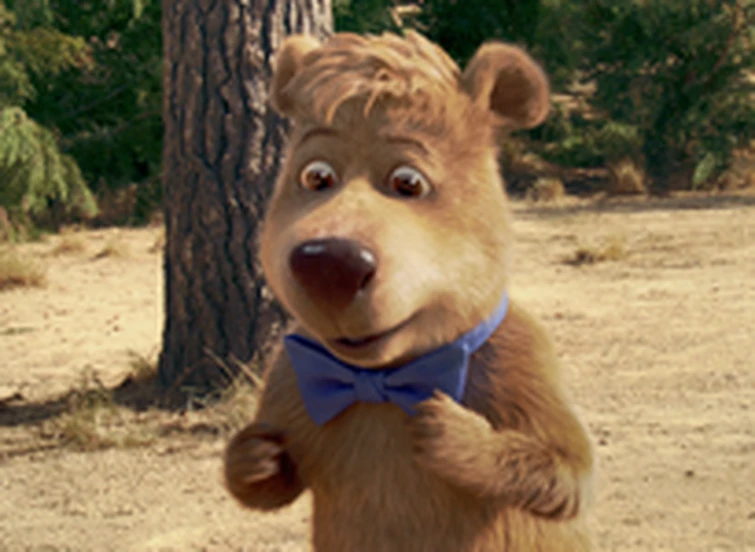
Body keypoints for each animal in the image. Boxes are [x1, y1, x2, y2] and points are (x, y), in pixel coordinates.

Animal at [224, 30, 596, 552]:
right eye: (316, 176)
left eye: (408, 182)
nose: (328, 263)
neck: (381, 380)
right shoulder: (287, 376)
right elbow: (270, 486)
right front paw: (253, 455)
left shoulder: (525, 361)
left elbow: (569, 472)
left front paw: (450, 433)